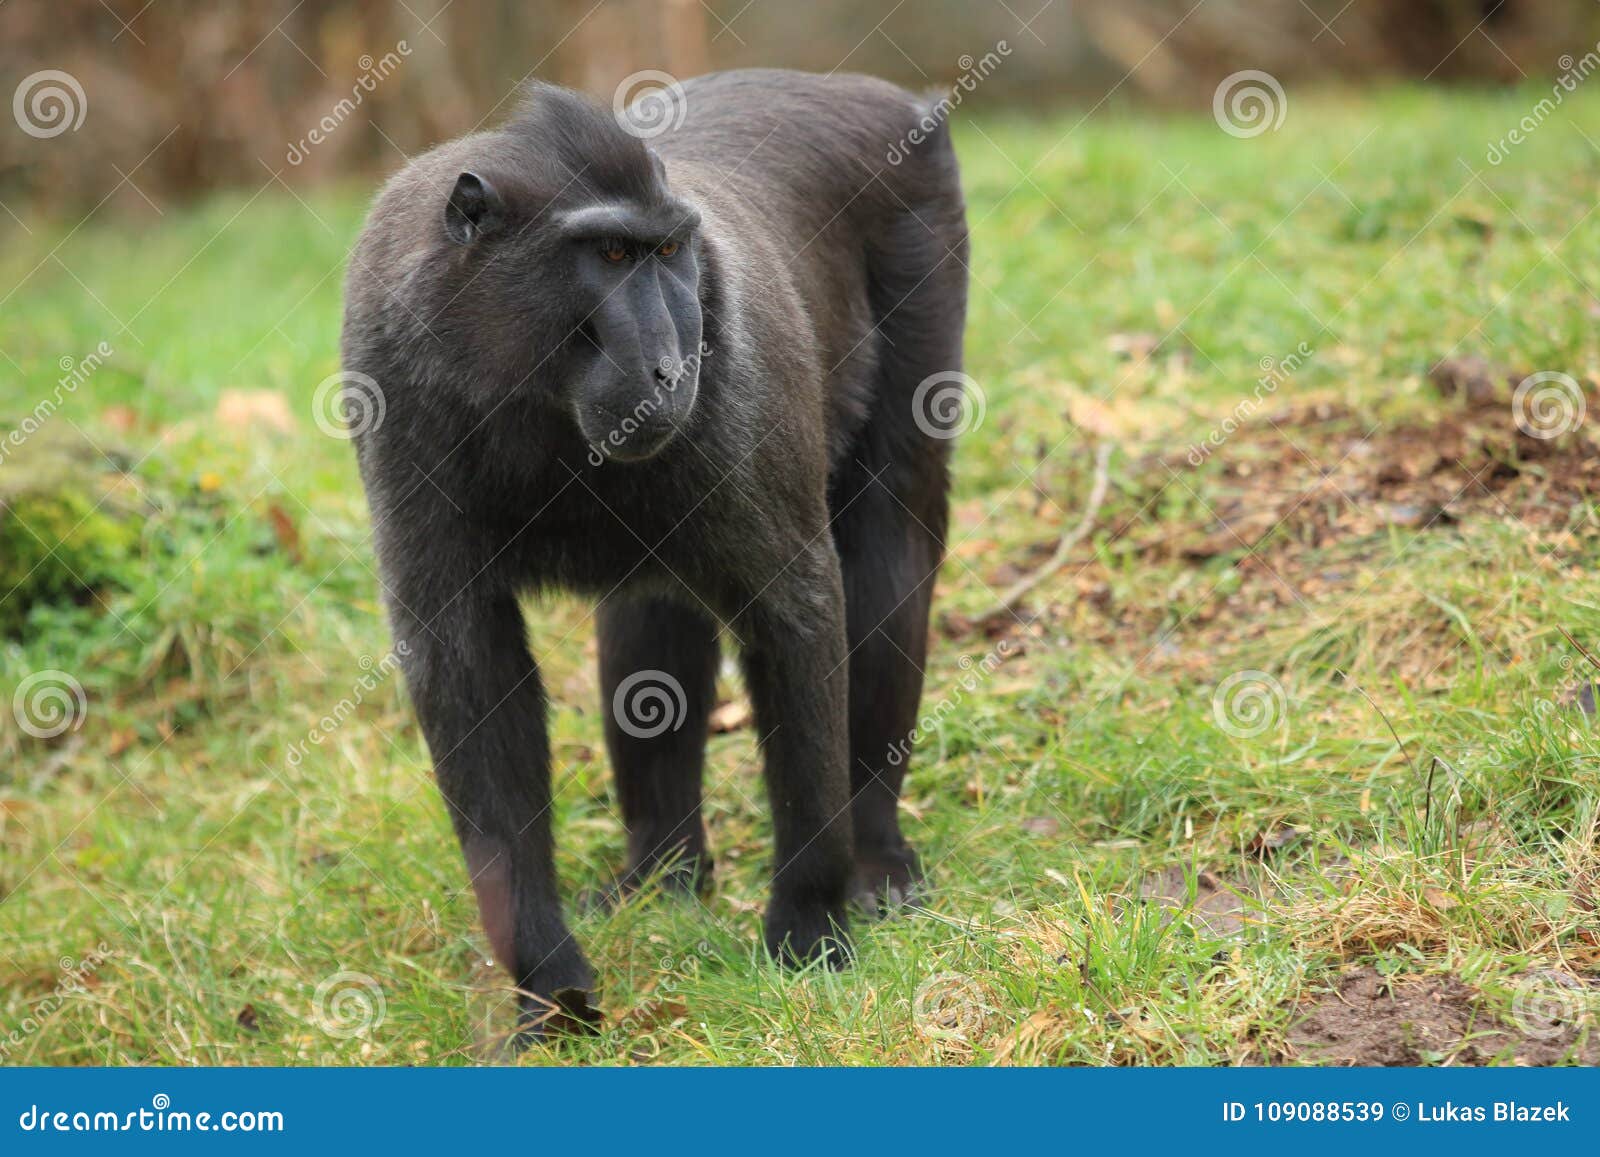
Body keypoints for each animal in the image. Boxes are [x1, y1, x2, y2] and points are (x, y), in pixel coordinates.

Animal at [340, 69, 968, 1039]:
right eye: (609, 256)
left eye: (669, 251)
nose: (674, 366)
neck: (533, 392)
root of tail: (871, 93)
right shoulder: (395, 377)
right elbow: (467, 662)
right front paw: (549, 984)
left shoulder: (740, 388)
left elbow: (798, 608)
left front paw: (808, 928)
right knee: (653, 604)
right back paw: (664, 871)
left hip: (923, 240)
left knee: (890, 540)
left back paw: (873, 853)